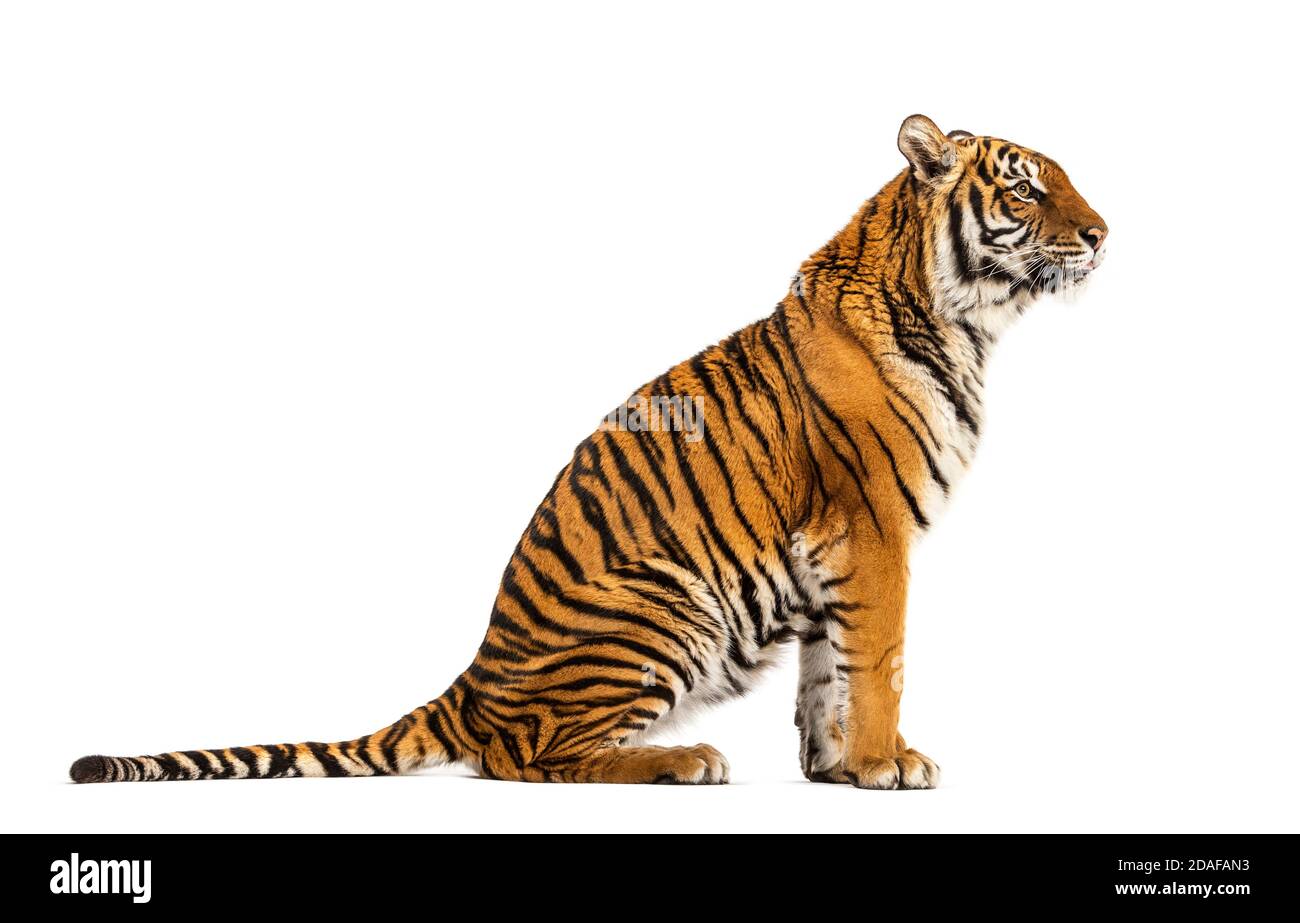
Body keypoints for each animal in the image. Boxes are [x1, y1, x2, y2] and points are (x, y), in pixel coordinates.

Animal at [71, 114, 1107, 789]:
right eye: (1024, 185)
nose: (1102, 232)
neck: (968, 323)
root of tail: (471, 677)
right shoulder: (871, 528)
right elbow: (879, 657)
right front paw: (887, 761)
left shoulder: (834, 550)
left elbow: (828, 670)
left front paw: (835, 768)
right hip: (665, 600)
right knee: (521, 757)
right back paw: (684, 759)